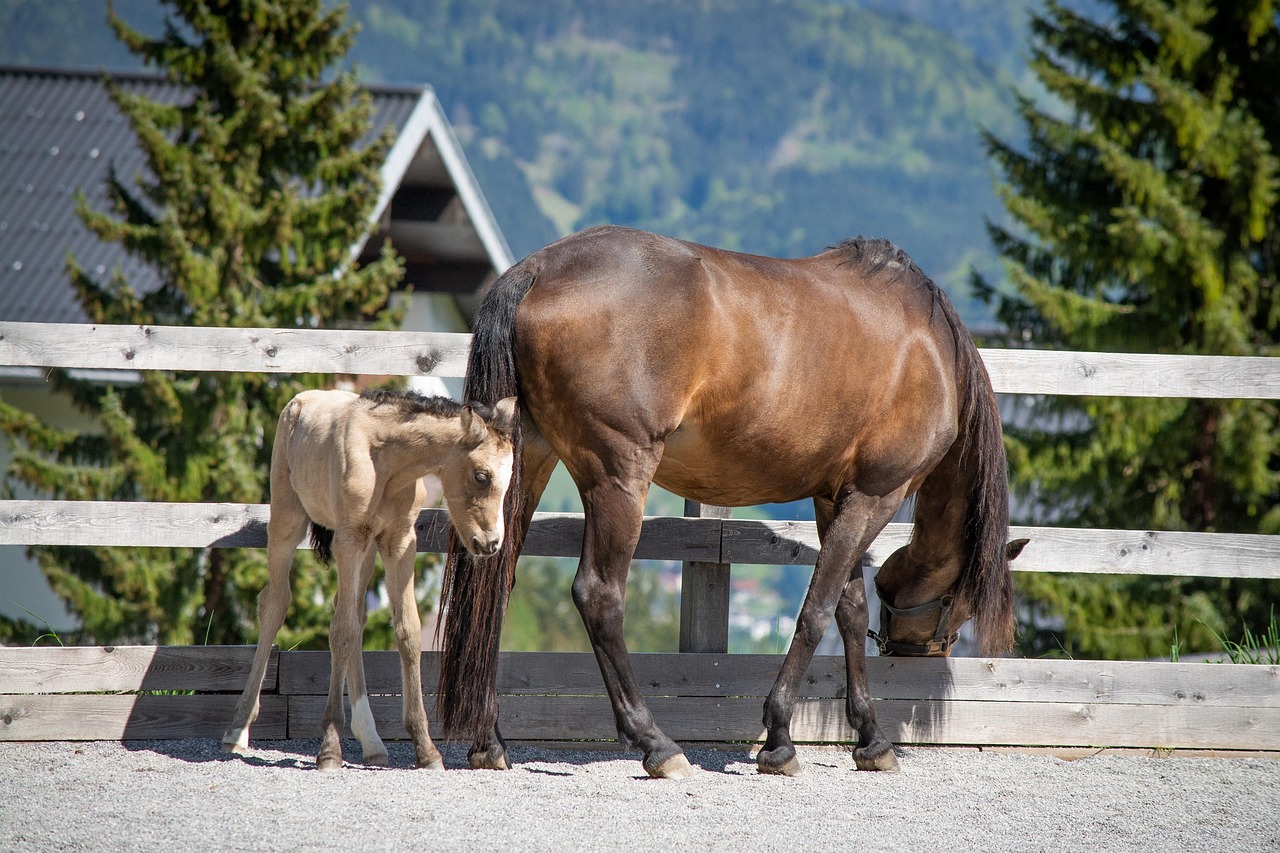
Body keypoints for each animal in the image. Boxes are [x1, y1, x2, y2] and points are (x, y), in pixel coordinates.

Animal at [223, 387, 517, 770]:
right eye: (481, 476)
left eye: (509, 480)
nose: (490, 543)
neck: (388, 463)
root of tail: (300, 400)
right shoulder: (348, 538)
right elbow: (341, 632)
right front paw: (330, 747)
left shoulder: (400, 541)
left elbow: (406, 632)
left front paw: (426, 749)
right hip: (288, 518)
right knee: (275, 604)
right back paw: (238, 728)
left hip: (368, 549)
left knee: (356, 612)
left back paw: (372, 740)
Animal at [437, 225, 1026, 778]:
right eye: (964, 600)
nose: (920, 653)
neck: (930, 349)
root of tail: (539, 269)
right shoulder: (875, 497)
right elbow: (816, 613)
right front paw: (780, 739)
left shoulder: (836, 498)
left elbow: (849, 612)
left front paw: (871, 738)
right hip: (619, 476)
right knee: (598, 595)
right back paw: (657, 744)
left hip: (527, 460)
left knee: (496, 581)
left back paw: (490, 742)